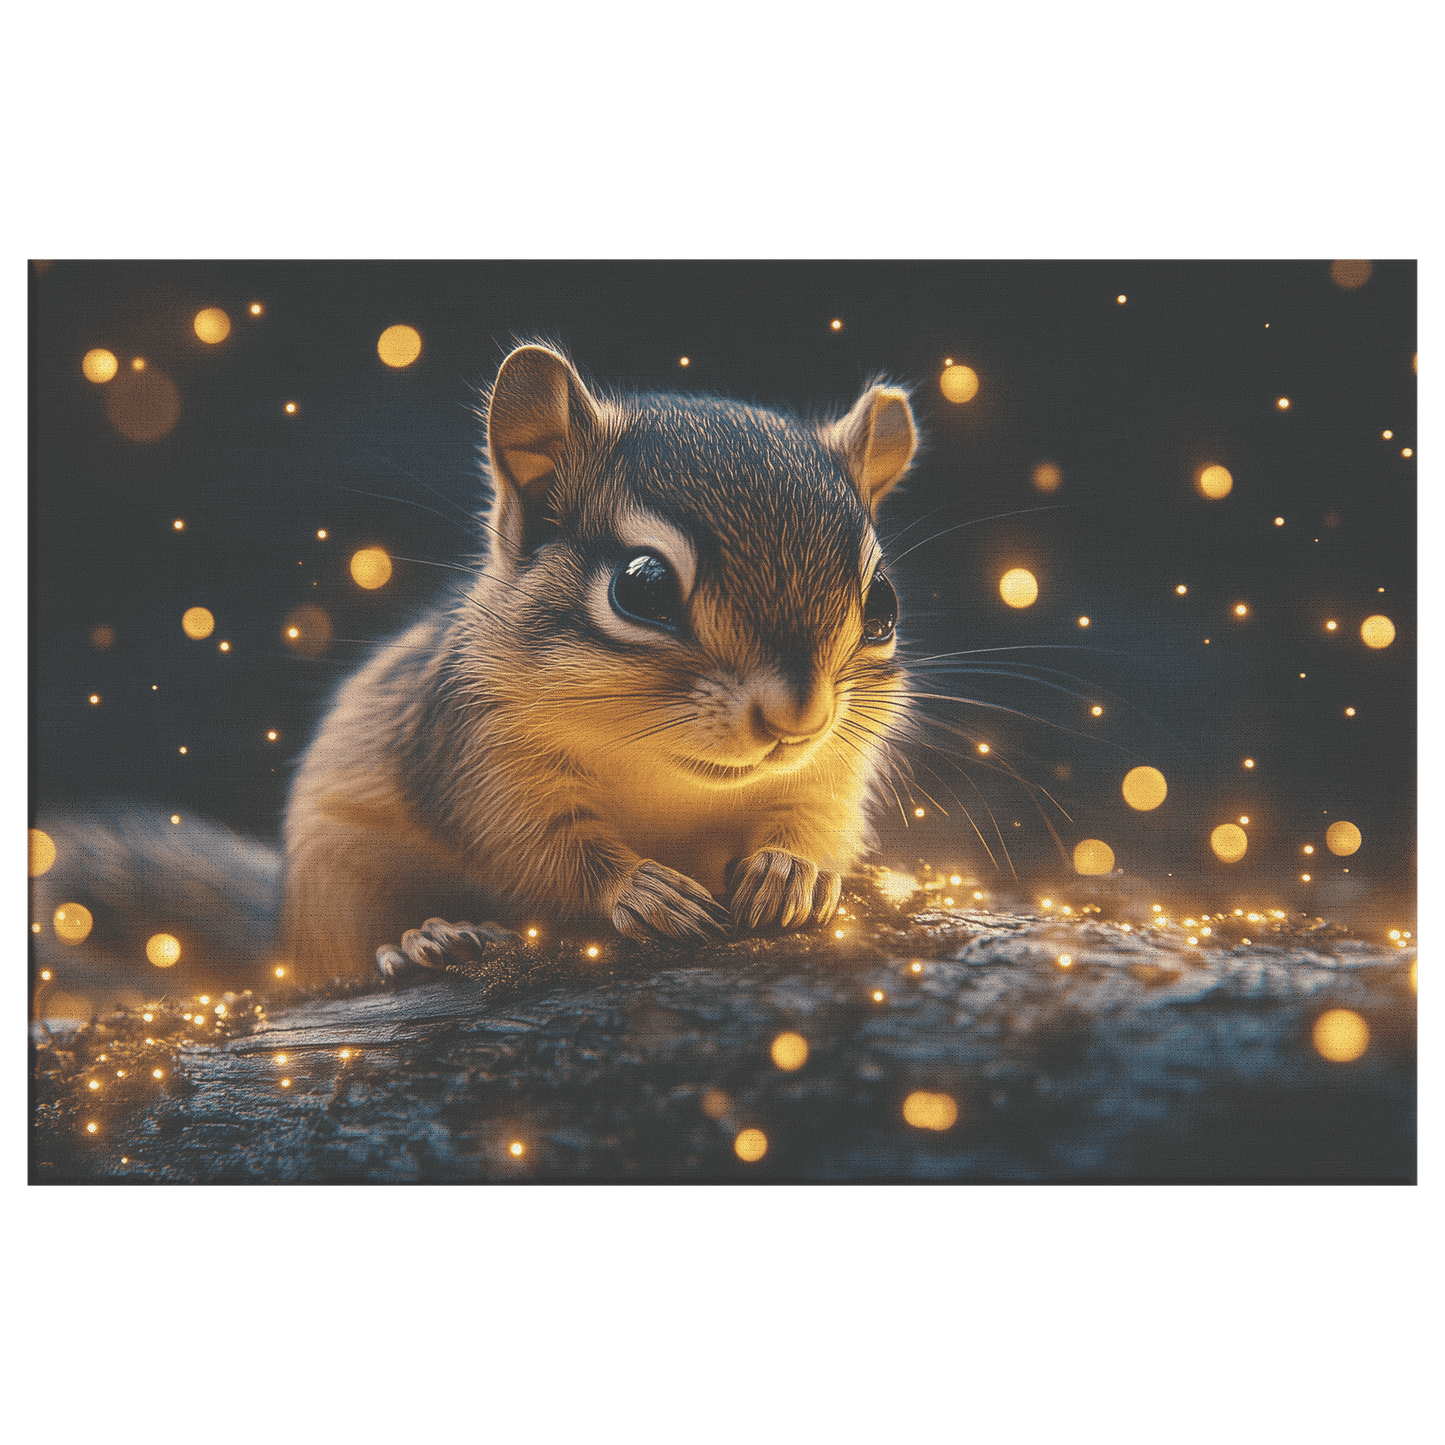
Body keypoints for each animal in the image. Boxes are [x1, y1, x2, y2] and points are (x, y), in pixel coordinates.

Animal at [32, 344, 919, 994]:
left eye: (882, 601)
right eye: (642, 587)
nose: (798, 716)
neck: (667, 774)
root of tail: (282, 931)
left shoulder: (833, 768)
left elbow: (815, 818)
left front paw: (792, 870)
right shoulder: (475, 750)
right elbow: (535, 845)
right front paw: (635, 887)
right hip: (339, 877)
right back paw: (426, 940)